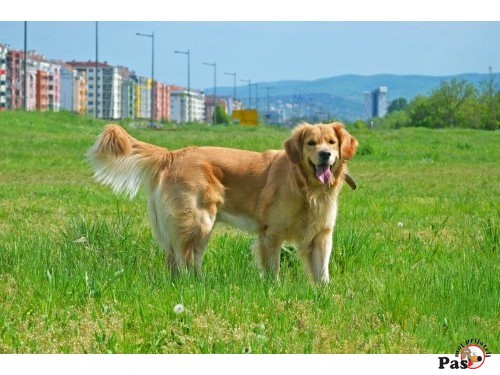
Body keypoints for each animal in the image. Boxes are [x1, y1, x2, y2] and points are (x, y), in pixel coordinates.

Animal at [88, 122, 358, 284]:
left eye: (332, 142)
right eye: (311, 143)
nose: (325, 154)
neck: (308, 188)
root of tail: (172, 154)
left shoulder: (322, 234)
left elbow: (322, 271)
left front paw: (324, 294)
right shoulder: (272, 233)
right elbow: (273, 267)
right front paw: (275, 288)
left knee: (178, 259)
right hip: (198, 221)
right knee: (184, 259)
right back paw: (194, 286)